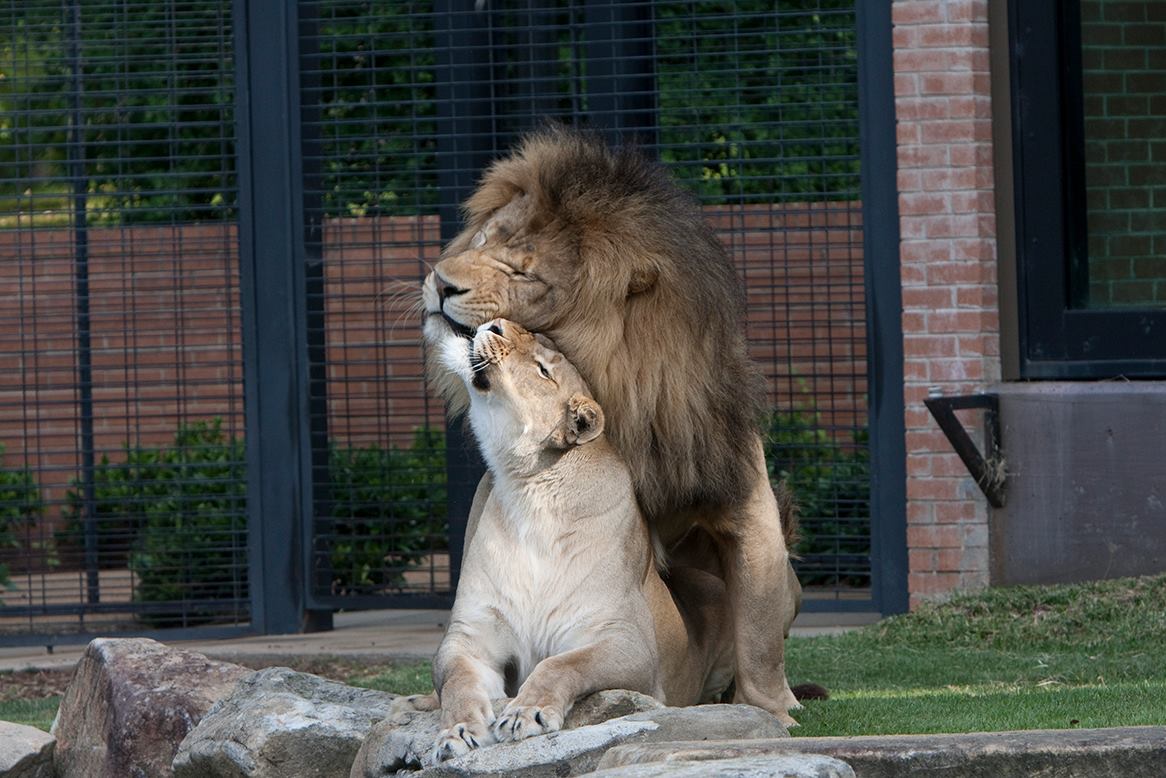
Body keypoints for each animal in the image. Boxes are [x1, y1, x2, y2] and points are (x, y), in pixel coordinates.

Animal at [426, 318, 734, 762]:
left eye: (543, 370)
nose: (495, 324)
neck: (529, 493)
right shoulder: (469, 638)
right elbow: (456, 684)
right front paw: (457, 732)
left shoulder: (627, 644)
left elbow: (561, 665)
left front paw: (526, 713)